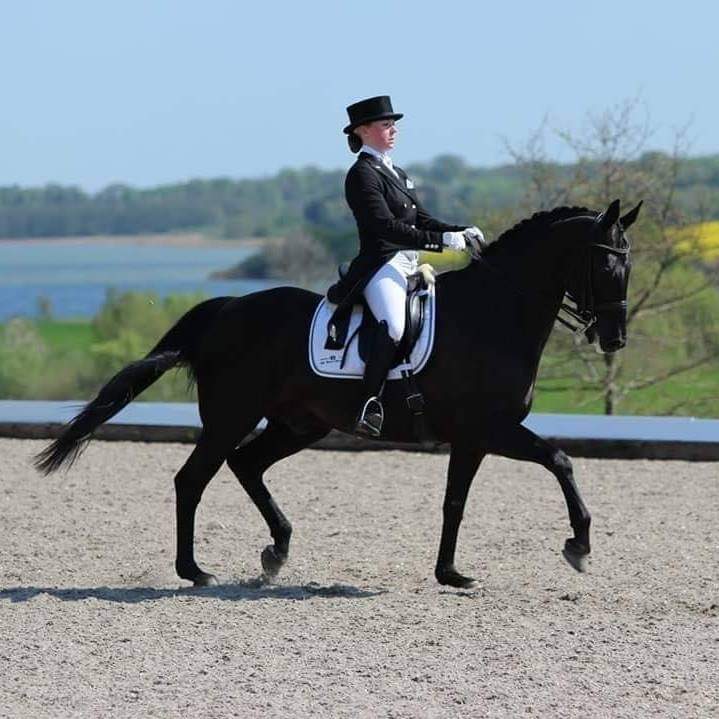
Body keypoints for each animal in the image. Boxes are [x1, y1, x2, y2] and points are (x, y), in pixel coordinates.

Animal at [35, 199, 640, 589]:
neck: (494, 313)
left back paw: (276, 552)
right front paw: (579, 547)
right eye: (606, 262)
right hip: (233, 416)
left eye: (627, 264)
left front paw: (450, 574)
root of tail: (227, 309)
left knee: (246, 465)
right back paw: (196, 571)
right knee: (194, 478)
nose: (615, 339)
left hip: (301, 423)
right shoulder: (489, 428)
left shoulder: (473, 437)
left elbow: (456, 502)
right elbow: (559, 460)